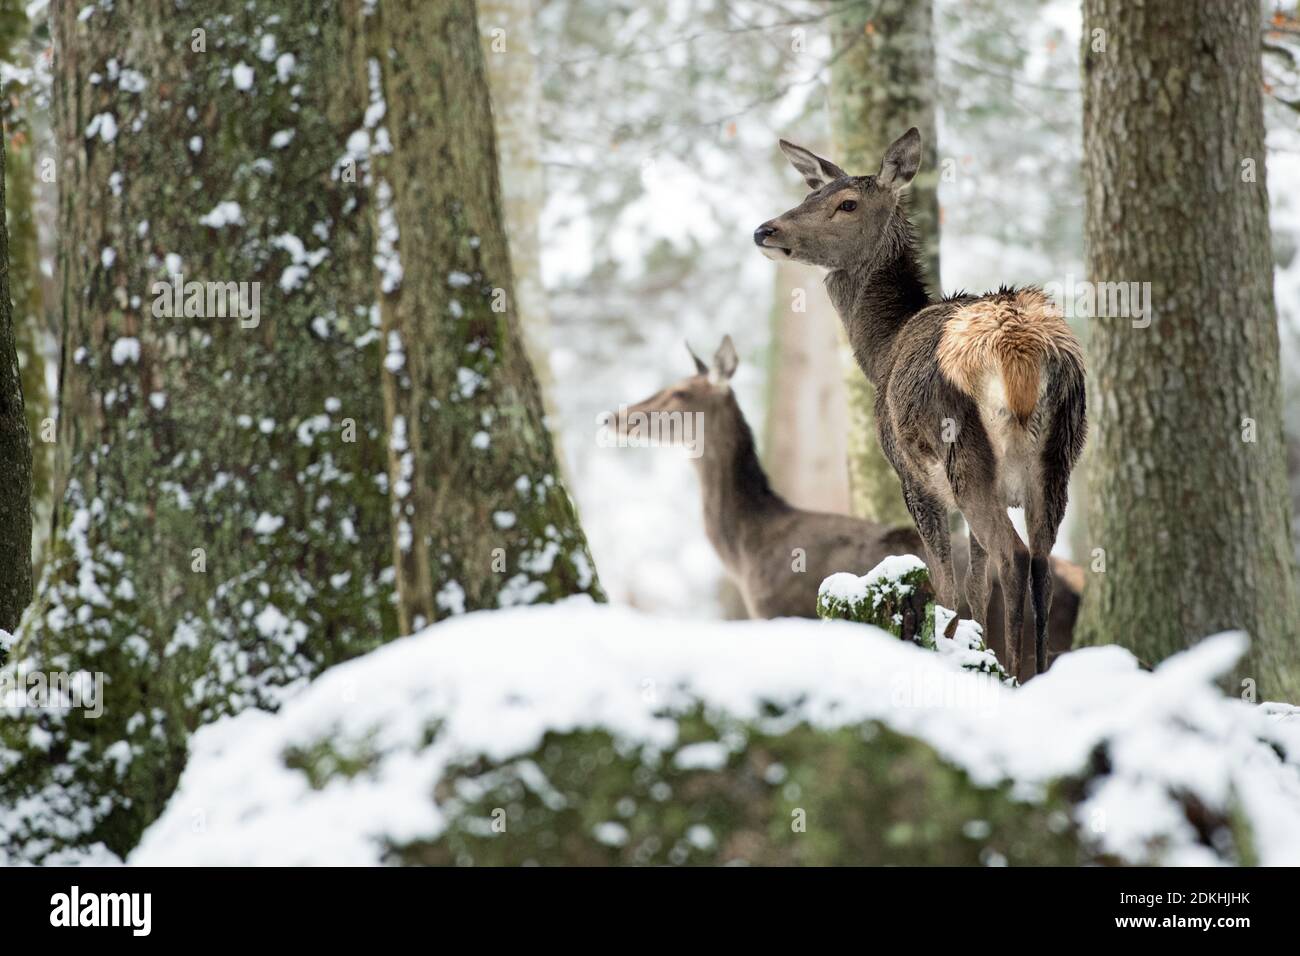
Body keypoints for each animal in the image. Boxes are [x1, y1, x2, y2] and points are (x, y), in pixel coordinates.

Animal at [753, 128, 1087, 678]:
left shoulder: (912, 478)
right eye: (811, 192)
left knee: (1014, 556)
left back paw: (1015, 675)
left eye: (847, 203)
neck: (881, 349)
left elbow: (946, 581)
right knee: (1041, 565)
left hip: (962, 451)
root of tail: (1019, 346)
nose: (764, 230)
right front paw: (974, 645)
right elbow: (974, 580)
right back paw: (1037, 674)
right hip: (1059, 458)